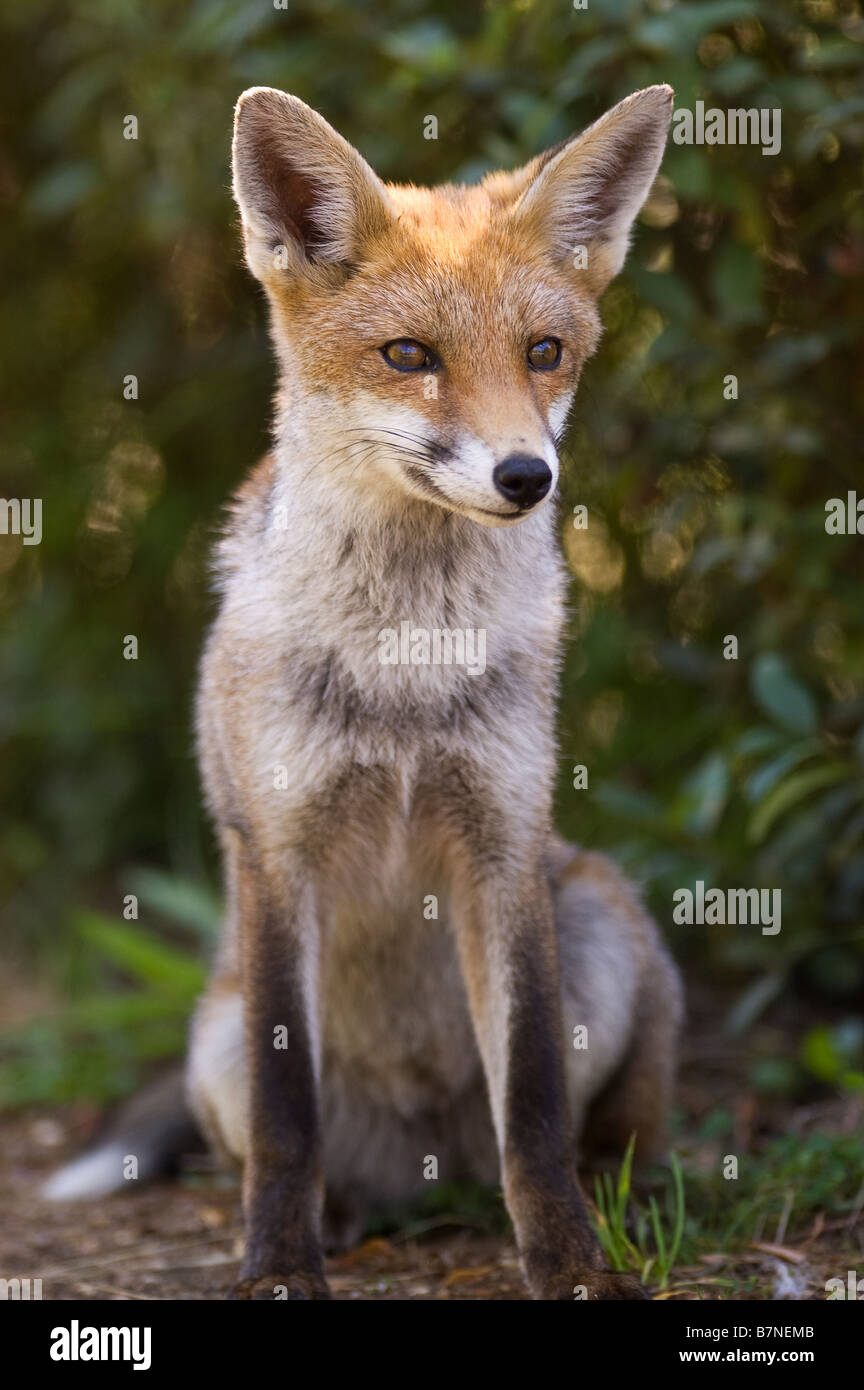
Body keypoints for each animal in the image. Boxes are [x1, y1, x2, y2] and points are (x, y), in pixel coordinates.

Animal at [46, 84, 683, 1300]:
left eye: (545, 352)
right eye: (408, 354)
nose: (528, 477)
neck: (406, 662)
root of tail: (425, 1166)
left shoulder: (502, 843)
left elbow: (534, 1100)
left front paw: (570, 1260)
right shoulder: (279, 852)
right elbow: (287, 1115)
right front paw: (278, 1265)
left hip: (602, 917)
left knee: (587, 1126)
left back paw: (633, 1195)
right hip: (219, 1026)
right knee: (279, 1137)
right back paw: (333, 1220)